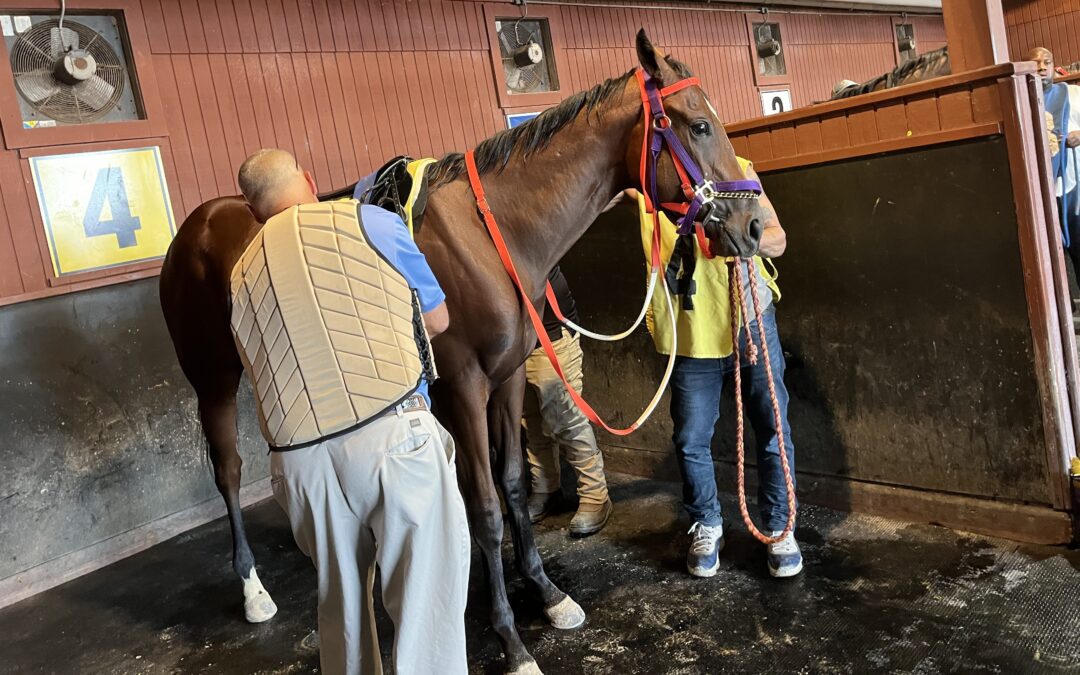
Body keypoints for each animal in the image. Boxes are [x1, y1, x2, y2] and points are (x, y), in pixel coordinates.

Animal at [159, 29, 765, 674]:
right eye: (699, 125)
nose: (754, 225)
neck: (492, 233)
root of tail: (198, 224)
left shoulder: (508, 378)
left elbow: (514, 486)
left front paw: (547, 594)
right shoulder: (465, 388)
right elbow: (485, 506)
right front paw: (511, 639)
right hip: (213, 382)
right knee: (228, 472)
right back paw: (253, 590)